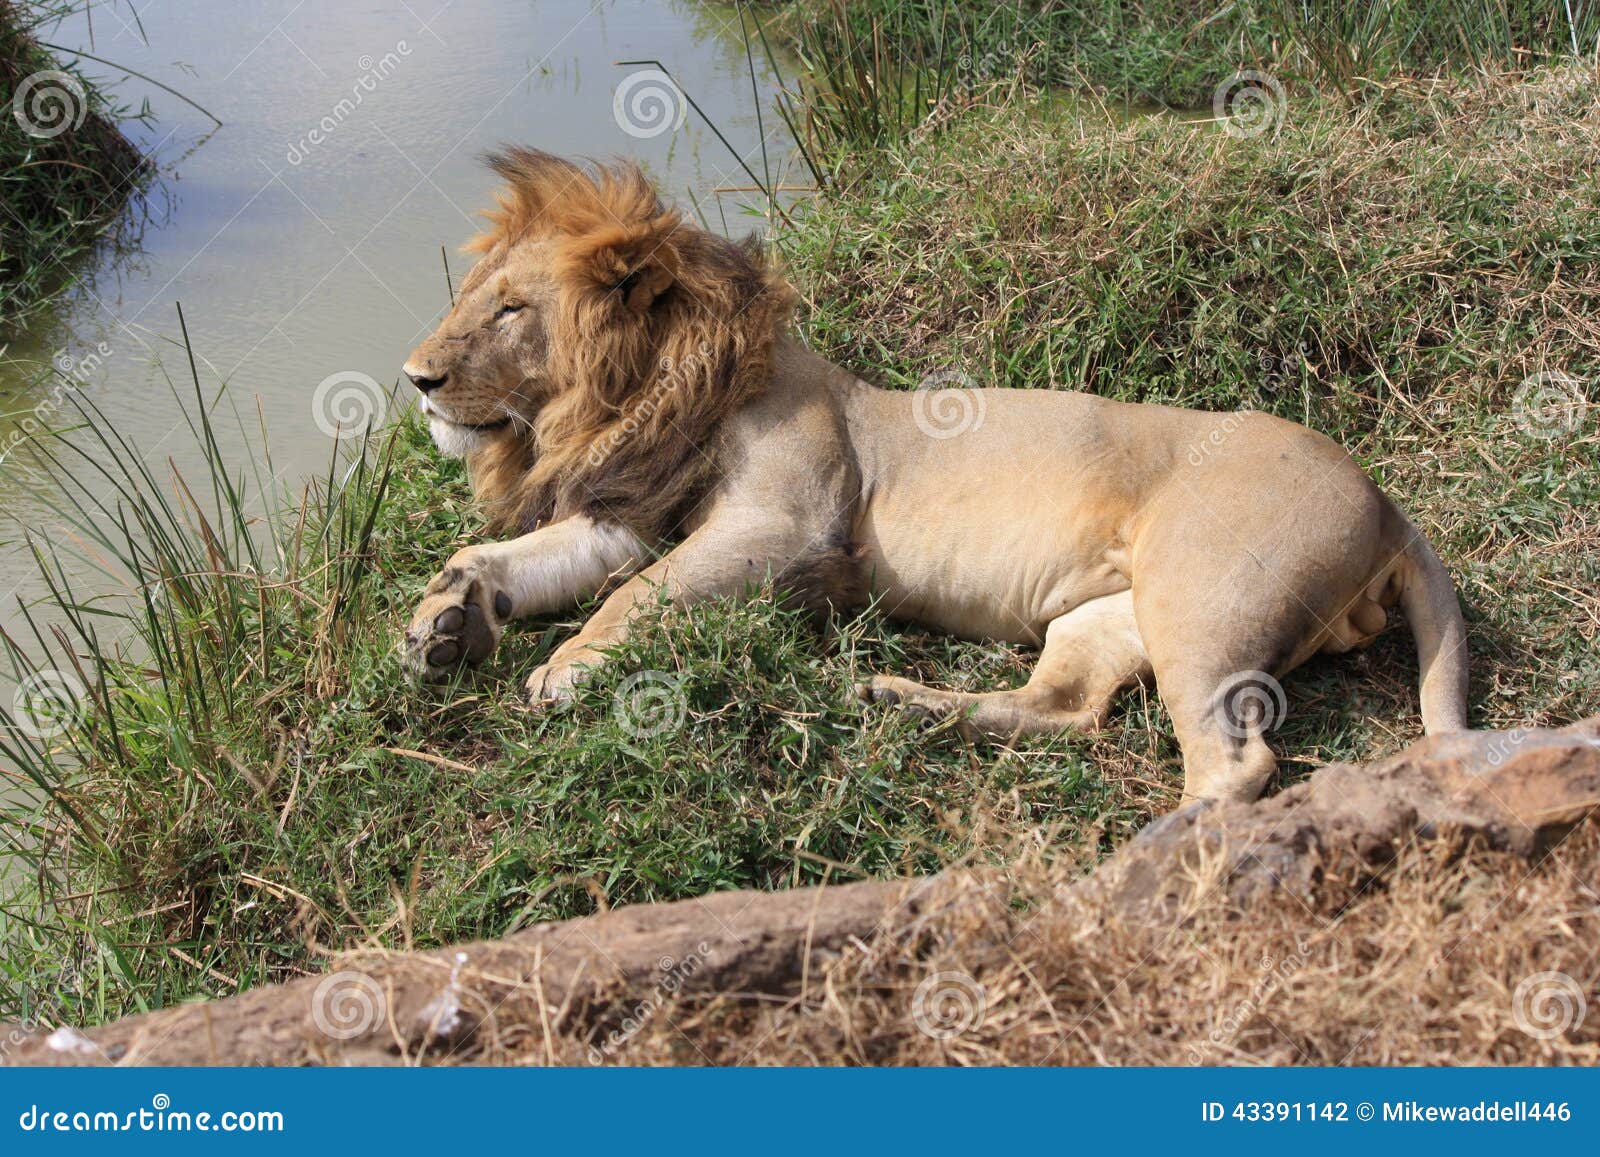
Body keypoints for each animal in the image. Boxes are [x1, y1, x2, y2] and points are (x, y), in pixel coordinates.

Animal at [400, 149, 1469, 807]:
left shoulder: (785, 520)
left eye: (510, 309)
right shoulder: (632, 510)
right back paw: (896, 699)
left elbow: (640, 594)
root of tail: (1391, 508)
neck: (638, 400)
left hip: (1202, 593)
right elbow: (511, 553)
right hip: (1113, 617)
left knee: (1236, 760)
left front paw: (568, 665)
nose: (415, 378)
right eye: (470, 296)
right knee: (1066, 709)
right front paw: (445, 621)